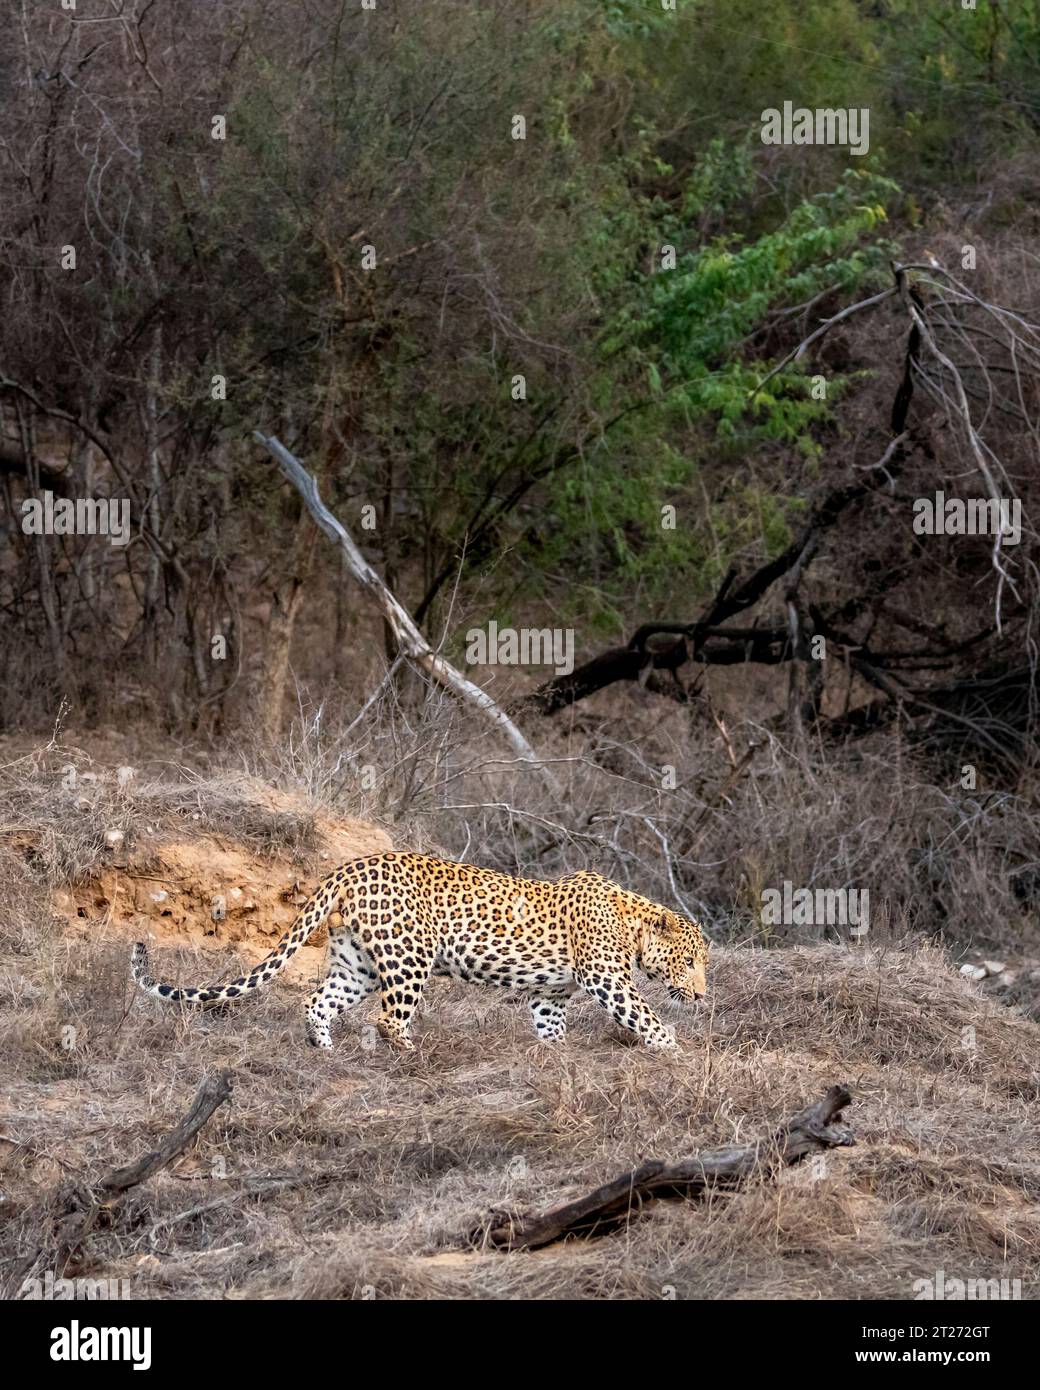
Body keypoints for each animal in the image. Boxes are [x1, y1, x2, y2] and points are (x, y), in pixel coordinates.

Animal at [130, 851, 710, 1051]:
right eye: (688, 962)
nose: (704, 995)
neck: (633, 923)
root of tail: (351, 865)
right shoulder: (609, 979)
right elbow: (649, 1018)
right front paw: (675, 1051)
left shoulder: (551, 994)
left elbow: (551, 1028)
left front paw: (556, 1057)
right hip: (410, 958)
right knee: (388, 1018)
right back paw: (413, 1057)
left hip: (357, 964)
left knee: (317, 1002)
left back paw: (326, 1051)